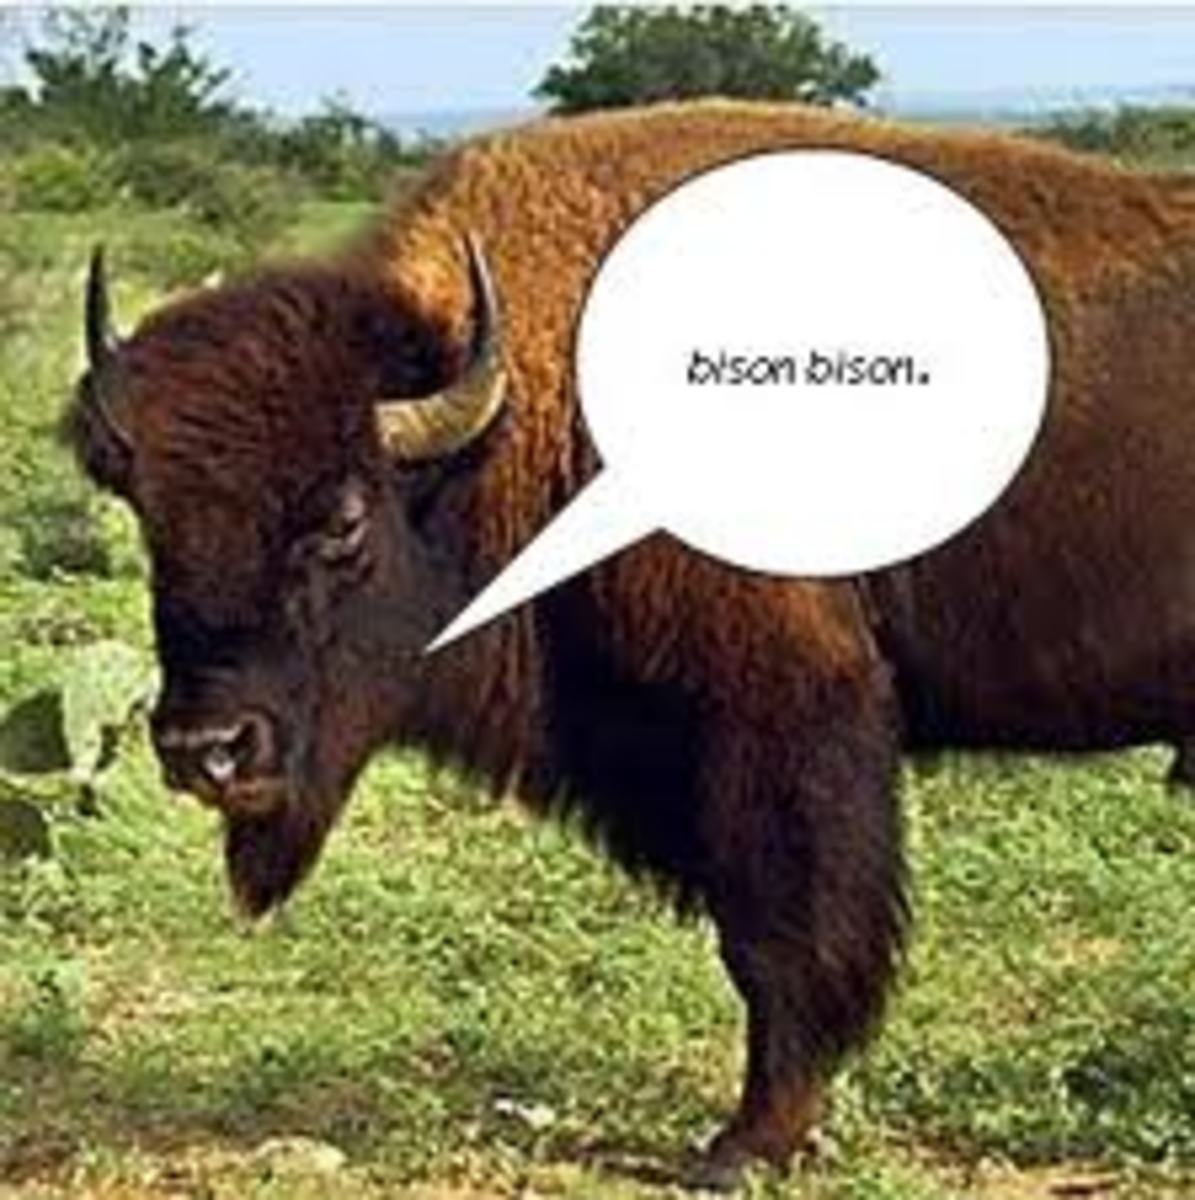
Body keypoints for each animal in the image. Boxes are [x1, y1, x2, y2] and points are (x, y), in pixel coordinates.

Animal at [66, 99, 1195, 1188]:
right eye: (148, 519)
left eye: (342, 517)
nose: (208, 750)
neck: (514, 418)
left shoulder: (782, 732)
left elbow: (781, 942)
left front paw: (744, 1147)